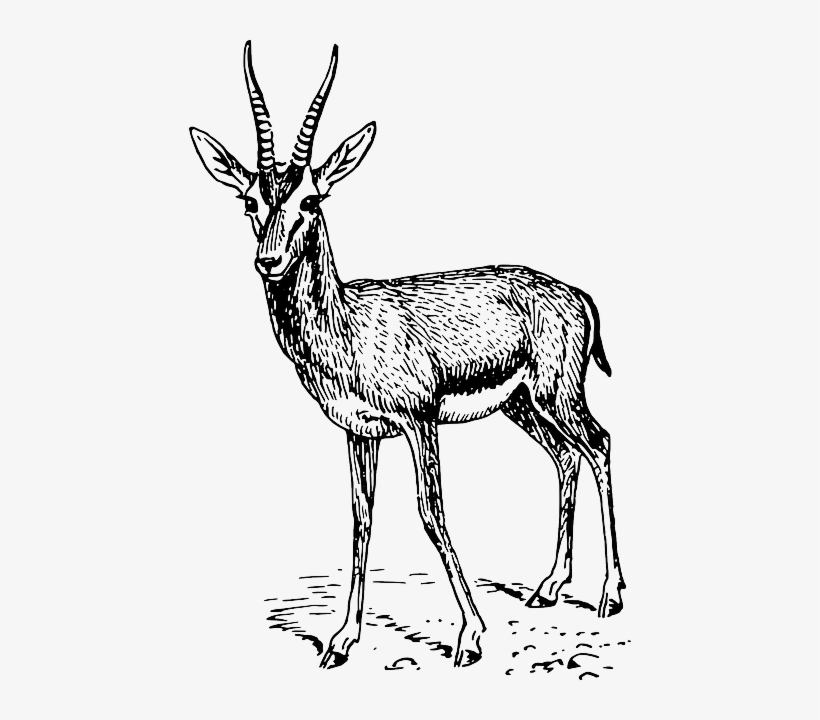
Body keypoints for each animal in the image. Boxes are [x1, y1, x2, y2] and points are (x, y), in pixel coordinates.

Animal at [190, 42, 625, 669]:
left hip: (556, 394)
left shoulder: (421, 423)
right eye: (251, 200)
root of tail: (578, 293)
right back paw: (547, 588)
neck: (348, 327)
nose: (268, 260)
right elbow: (361, 519)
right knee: (568, 458)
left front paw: (471, 636)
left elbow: (432, 512)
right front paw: (341, 641)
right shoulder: (360, 432)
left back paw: (610, 595)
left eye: (311, 198)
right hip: (523, 406)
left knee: (601, 446)